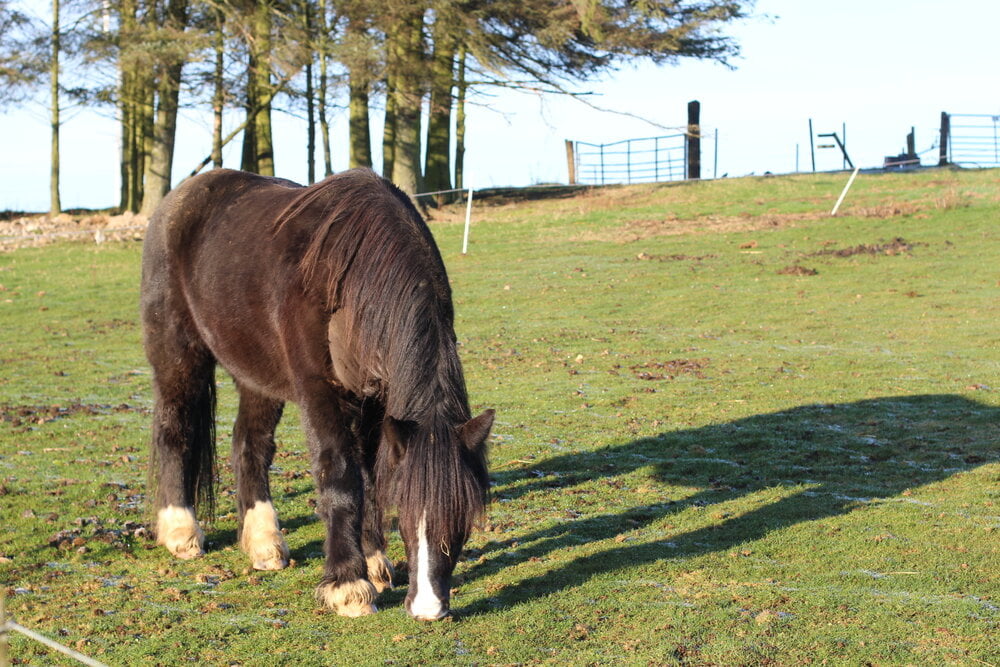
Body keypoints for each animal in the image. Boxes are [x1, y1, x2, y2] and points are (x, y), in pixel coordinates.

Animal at [140, 168, 492, 620]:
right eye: (407, 514)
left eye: (463, 517)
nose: (429, 609)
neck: (350, 276)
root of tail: (180, 197)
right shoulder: (320, 392)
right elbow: (341, 476)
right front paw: (348, 585)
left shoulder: (377, 403)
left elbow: (371, 477)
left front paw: (374, 562)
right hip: (178, 357)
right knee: (175, 431)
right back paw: (181, 531)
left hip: (257, 375)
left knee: (249, 445)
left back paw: (265, 544)